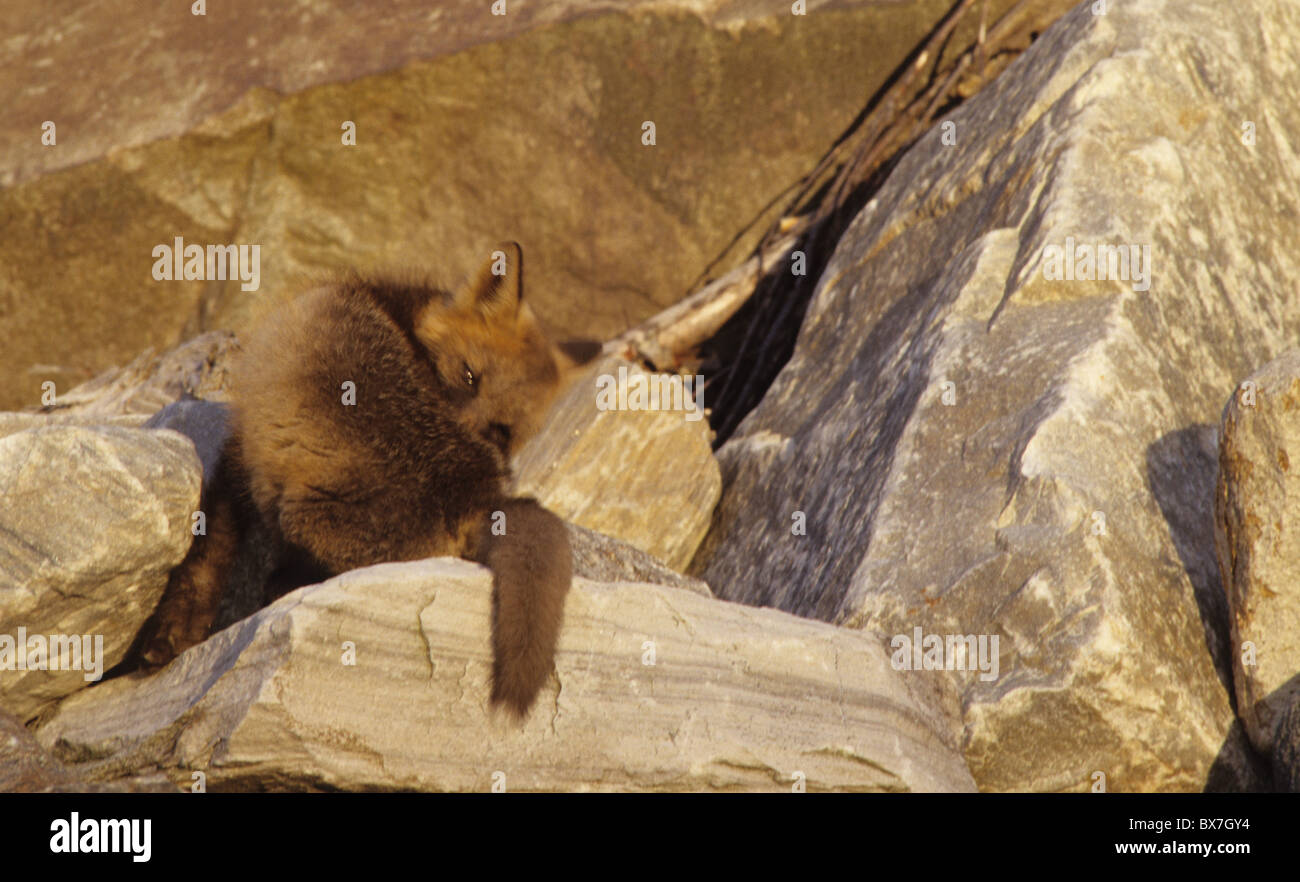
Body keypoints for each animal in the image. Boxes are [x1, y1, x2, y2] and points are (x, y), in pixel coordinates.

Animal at [132, 242, 590, 718]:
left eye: (501, 430)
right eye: (468, 375)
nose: (463, 432)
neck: (399, 307)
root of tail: (481, 497)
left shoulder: (245, 445)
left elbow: (207, 553)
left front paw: (171, 632)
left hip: (304, 510)